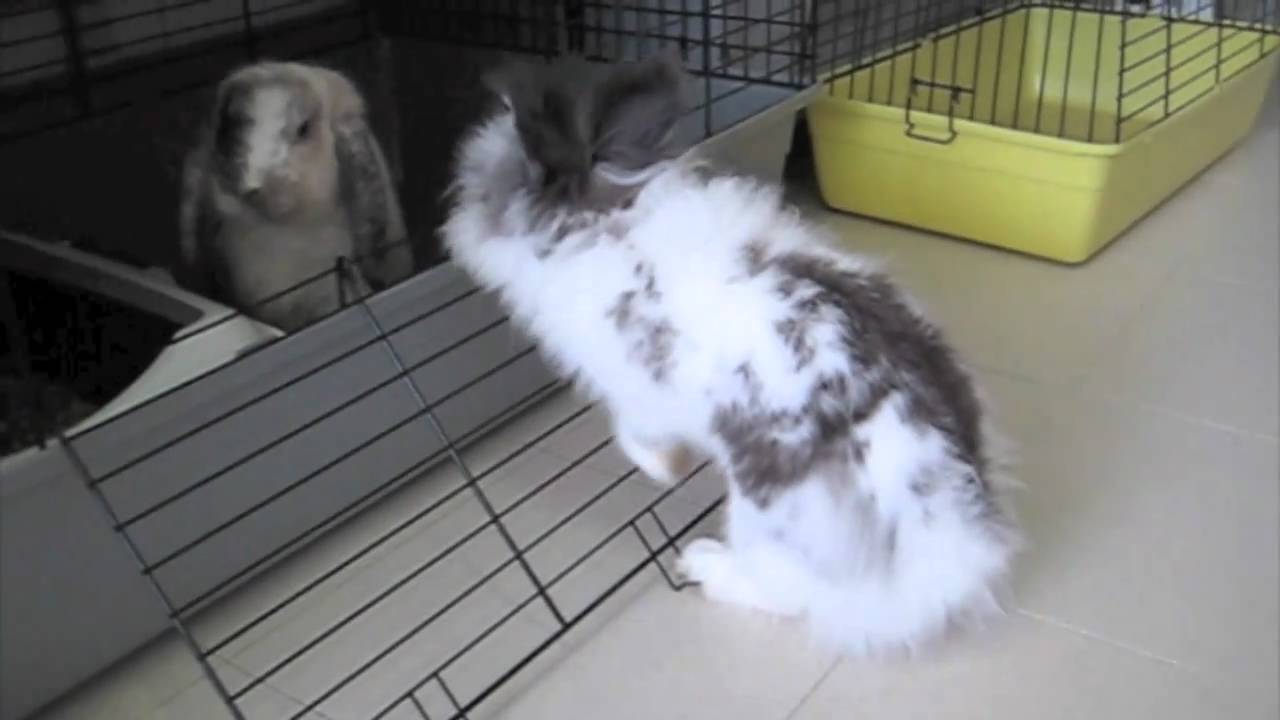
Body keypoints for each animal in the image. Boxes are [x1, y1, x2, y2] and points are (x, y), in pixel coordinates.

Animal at [441, 50, 1022, 657]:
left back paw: (703, 564)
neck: (599, 215)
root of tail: (950, 555)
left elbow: (631, 434)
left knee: (787, 594)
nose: (454, 212)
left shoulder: (639, 392)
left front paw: (664, 471)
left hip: (760, 520)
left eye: (488, 176)